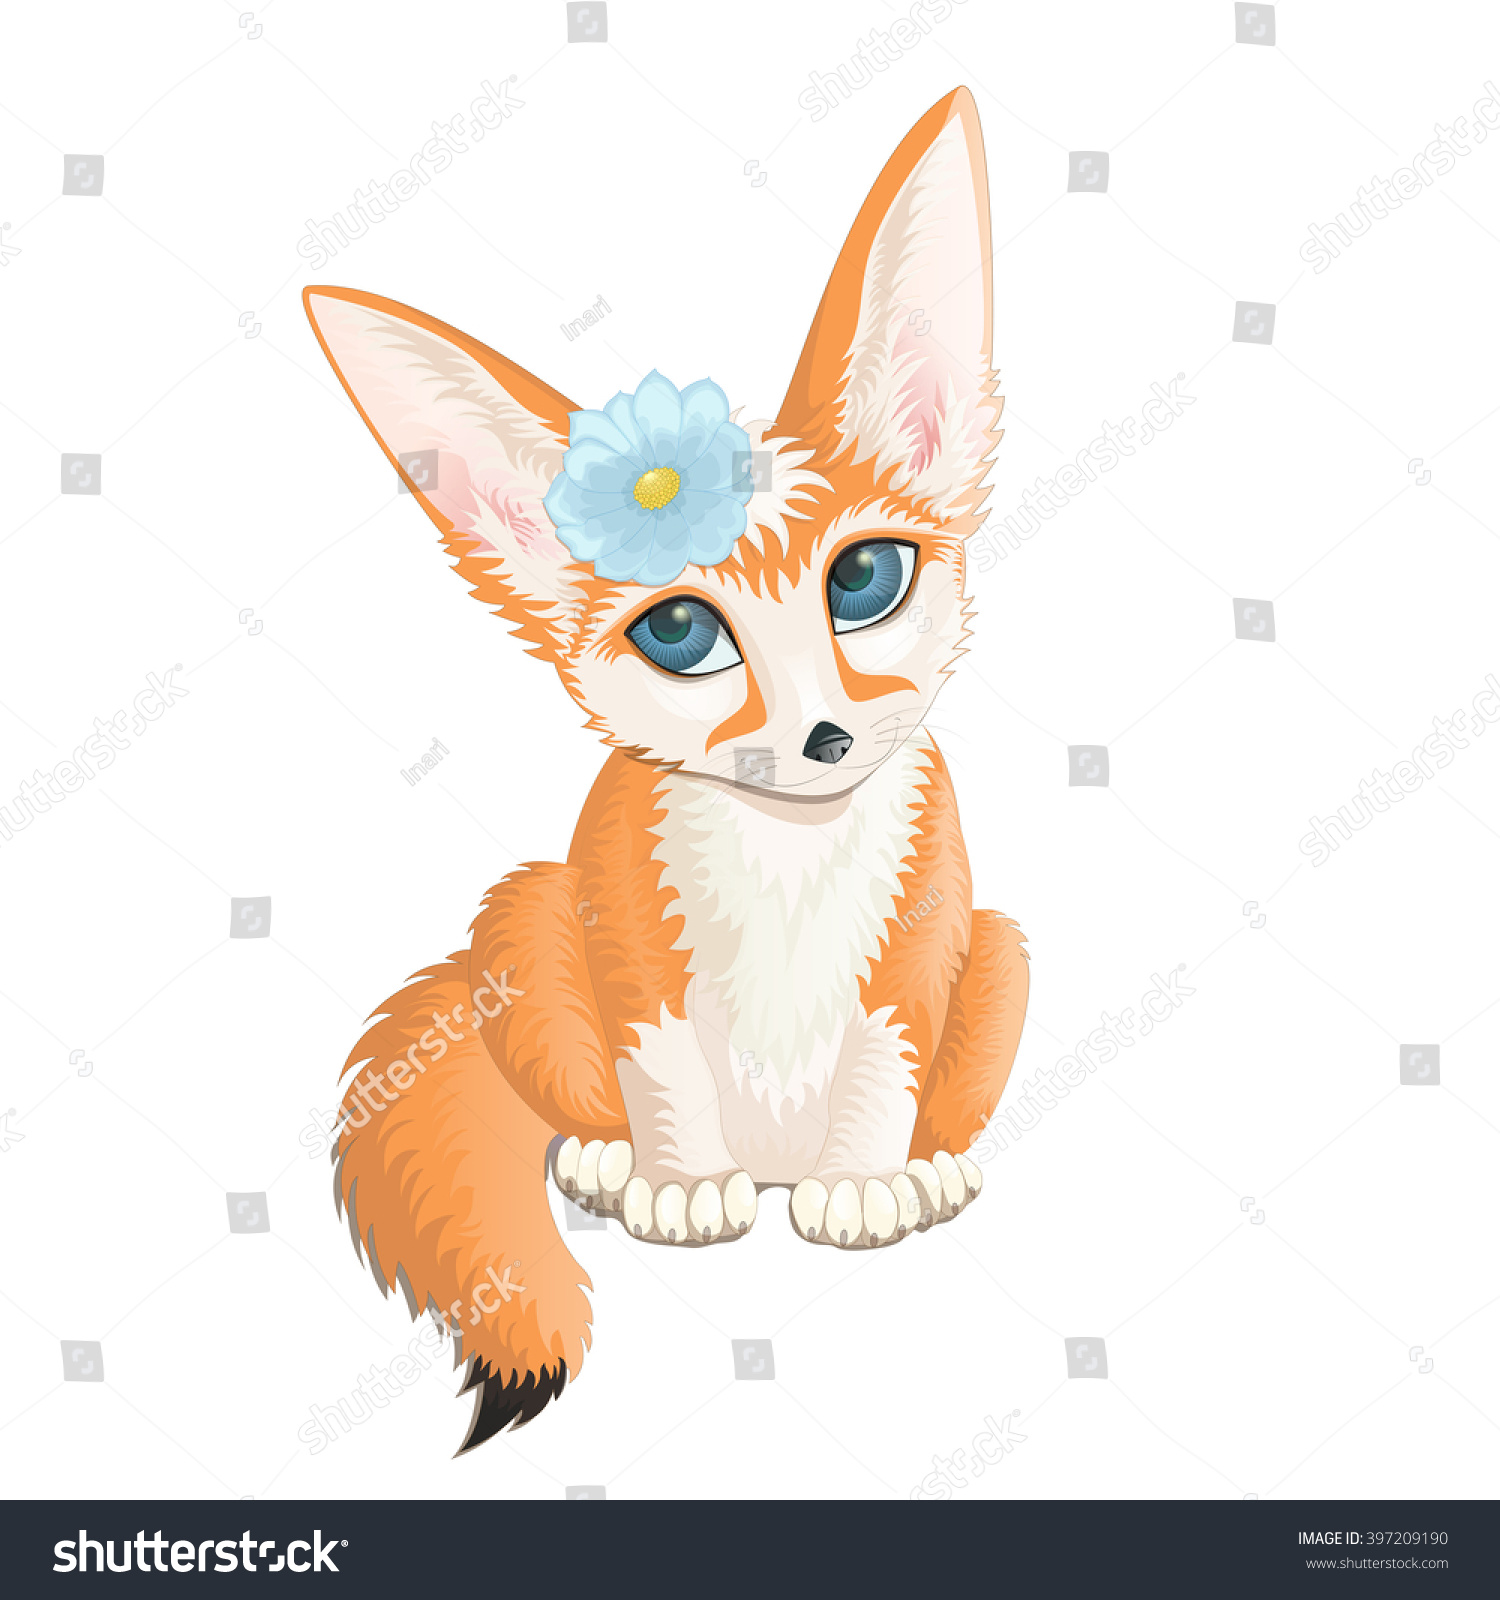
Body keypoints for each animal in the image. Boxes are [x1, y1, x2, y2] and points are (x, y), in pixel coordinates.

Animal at [304, 87, 1028, 1454]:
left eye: (864, 579)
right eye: (681, 633)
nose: (825, 738)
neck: (789, 854)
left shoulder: (931, 918)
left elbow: (886, 1053)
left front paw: (865, 1177)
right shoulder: (622, 921)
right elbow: (663, 1063)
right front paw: (683, 1185)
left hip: (1004, 946)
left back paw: (925, 1164)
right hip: (530, 905)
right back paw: (606, 1158)